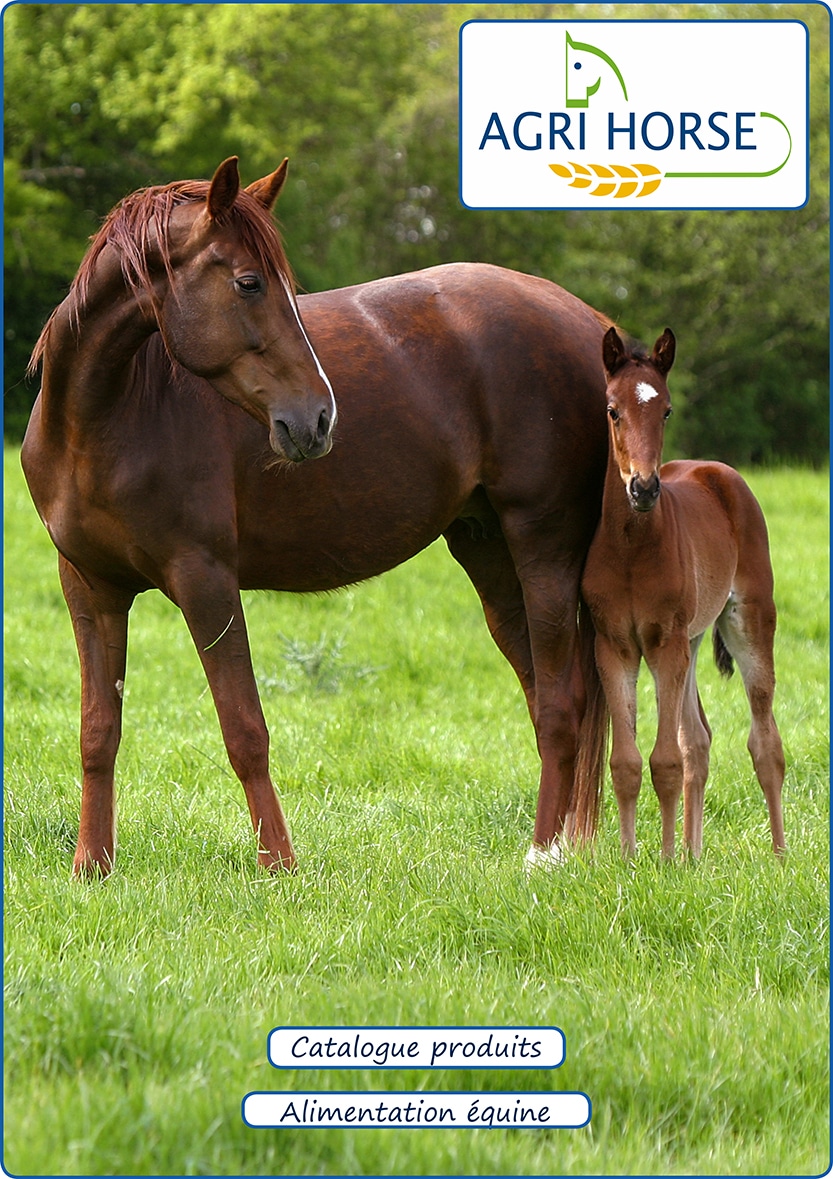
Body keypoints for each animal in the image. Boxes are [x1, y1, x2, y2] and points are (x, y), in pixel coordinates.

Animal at [22, 156, 611, 879]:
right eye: (248, 282)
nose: (318, 418)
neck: (104, 419)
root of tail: (585, 322)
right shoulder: (90, 588)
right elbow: (97, 731)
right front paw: (92, 868)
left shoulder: (205, 581)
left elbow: (244, 729)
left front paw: (279, 866)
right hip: (490, 554)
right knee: (549, 692)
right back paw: (568, 846)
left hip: (543, 545)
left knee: (561, 702)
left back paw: (544, 854)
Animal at [578, 326, 786, 859]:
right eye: (612, 409)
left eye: (667, 409)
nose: (644, 488)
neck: (630, 550)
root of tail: (718, 470)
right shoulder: (614, 646)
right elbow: (627, 762)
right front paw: (630, 860)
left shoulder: (663, 643)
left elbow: (665, 760)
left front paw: (665, 860)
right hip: (691, 638)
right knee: (699, 738)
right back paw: (694, 856)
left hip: (746, 619)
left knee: (765, 742)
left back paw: (777, 856)